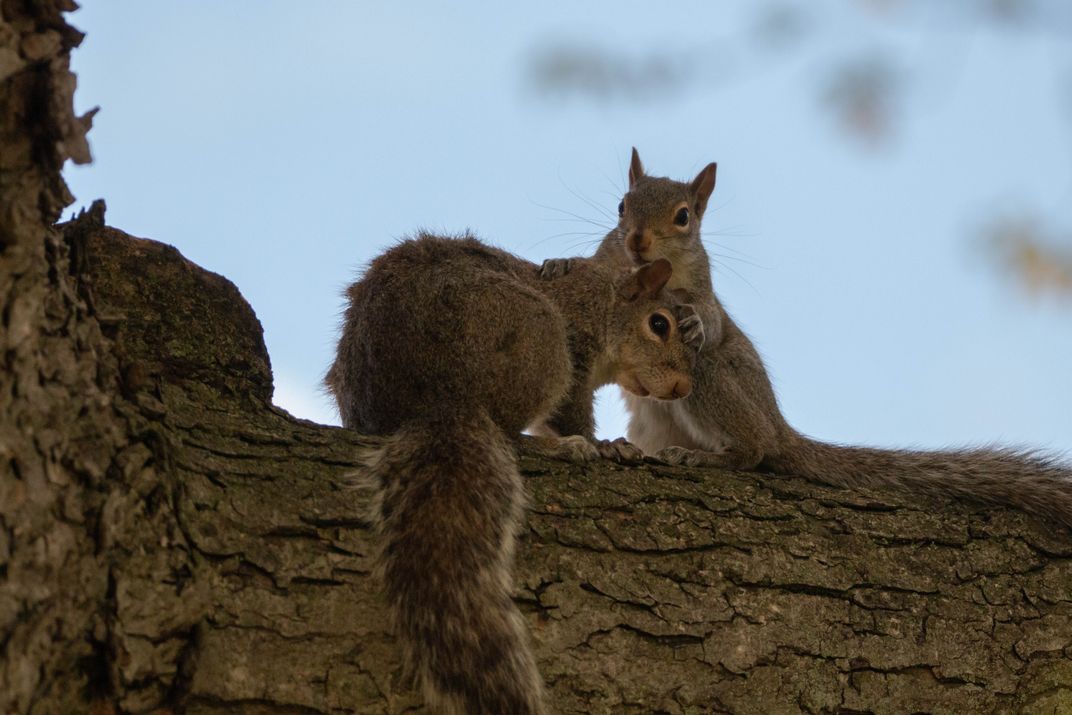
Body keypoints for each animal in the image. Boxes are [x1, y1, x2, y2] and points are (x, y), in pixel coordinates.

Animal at [325, 231, 700, 714]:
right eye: (659, 325)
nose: (682, 388)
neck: (603, 301)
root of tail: (436, 400)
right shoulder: (577, 350)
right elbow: (571, 412)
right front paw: (603, 444)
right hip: (540, 339)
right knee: (511, 433)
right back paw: (561, 448)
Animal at [541, 148, 1072, 531]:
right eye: (621, 206)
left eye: (684, 216)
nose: (637, 240)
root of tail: (779, 425)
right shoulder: (609, 264)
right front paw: (560, 262)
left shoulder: (704, 287)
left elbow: (711, 318)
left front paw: (696, 323)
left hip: (716, 384)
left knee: (753, 452)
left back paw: (706, 455)